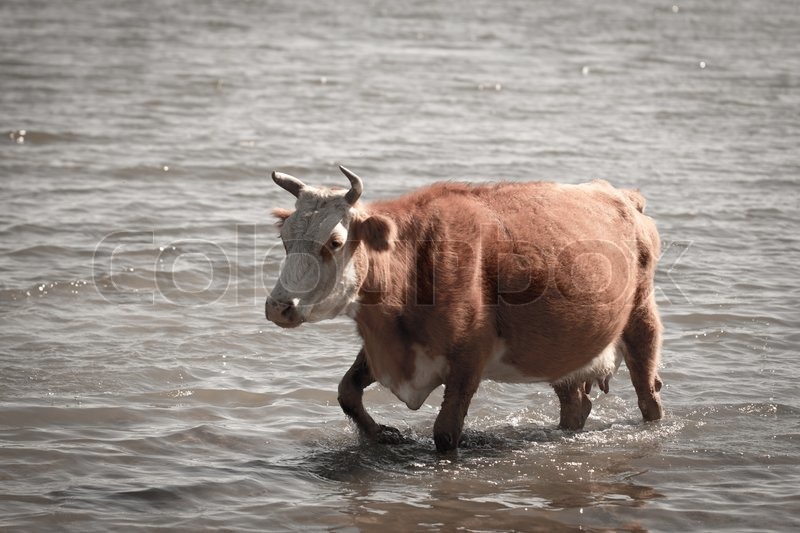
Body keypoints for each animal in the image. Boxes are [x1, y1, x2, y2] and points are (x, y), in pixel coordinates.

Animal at [265, 166, 664, 452]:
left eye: (334, 242)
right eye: (285, 240)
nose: (278, 307)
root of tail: (622, 197)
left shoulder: (469, 358)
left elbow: (445, 433)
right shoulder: (386, 347)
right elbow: (347, 391)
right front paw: (383, 434)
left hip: (641, 320)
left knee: (648, 396)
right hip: (563, 351)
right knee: (575, 405)